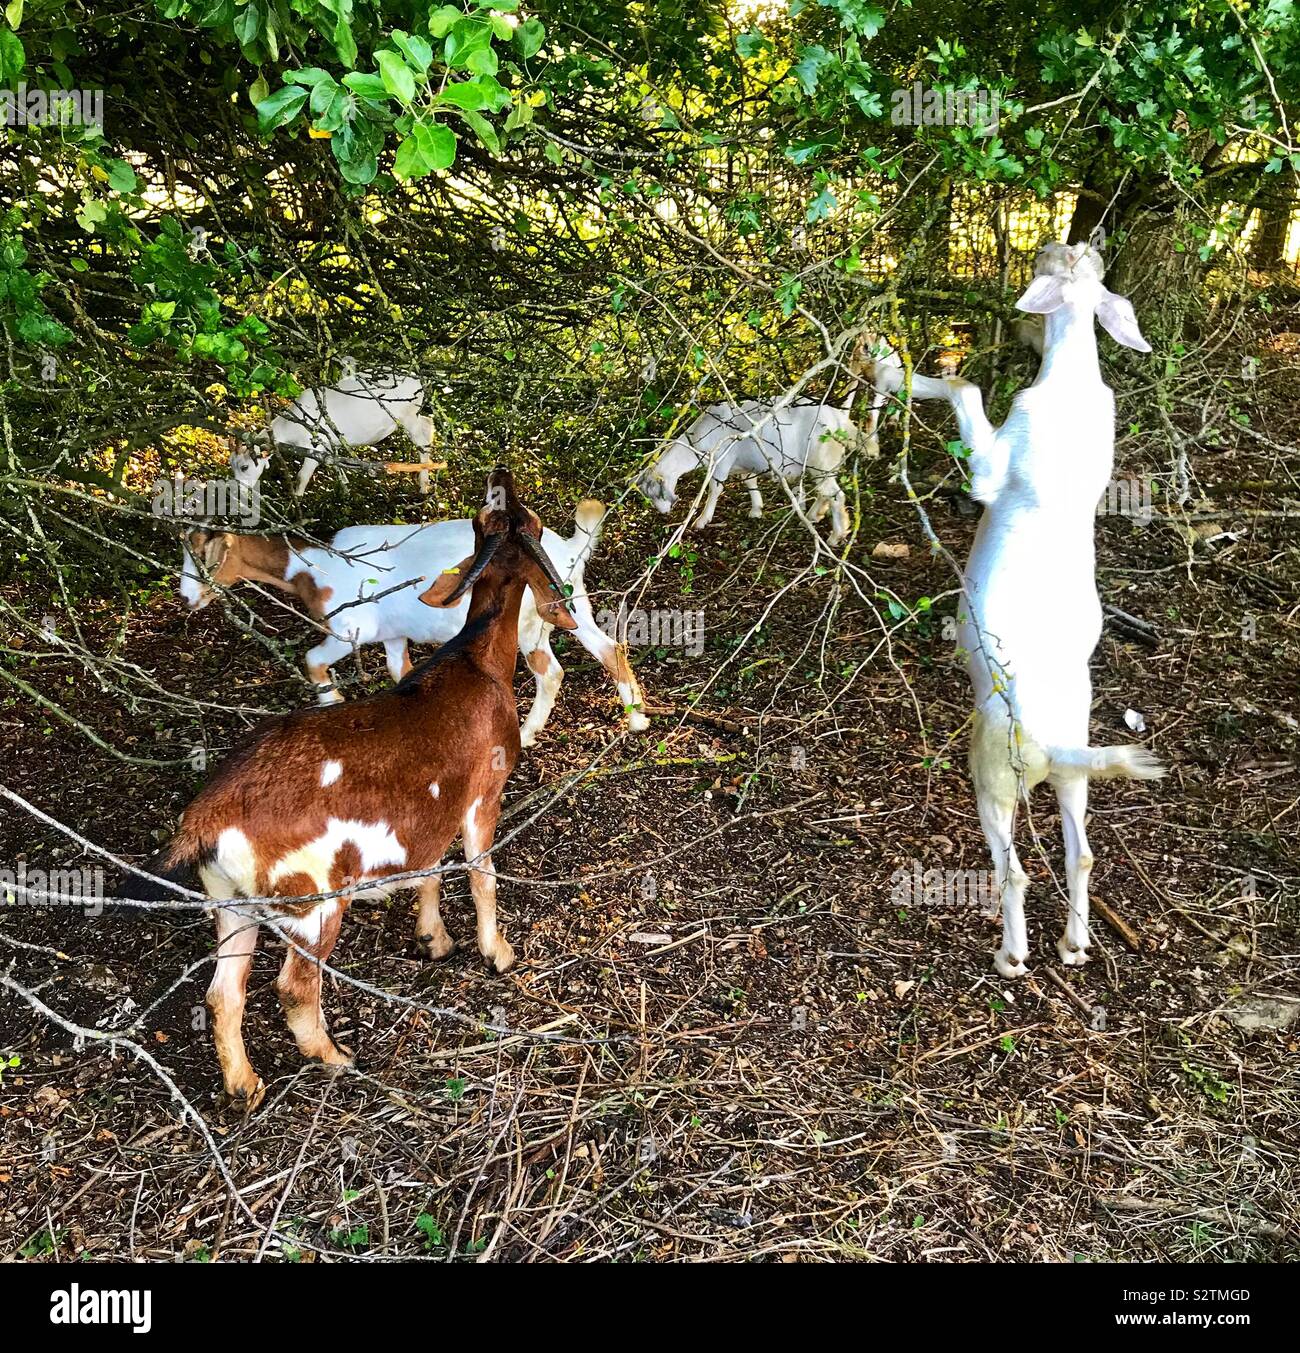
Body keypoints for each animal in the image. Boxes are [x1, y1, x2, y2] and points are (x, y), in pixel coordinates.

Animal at [146, 469, 575, 1105]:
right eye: (533, 523)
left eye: (488, 519)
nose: (503, 477)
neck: (475, 659)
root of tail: (207, 820)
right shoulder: (482, 794)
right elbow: (481, 874)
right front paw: (497, 953)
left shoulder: (427, 815)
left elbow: (428, 867)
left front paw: (432, 940)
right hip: (312, 902)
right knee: (294, 987)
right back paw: (334, 1057)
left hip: (229, 900)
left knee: (223, 990)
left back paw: (245, 1084)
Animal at [179, 500, 648, 746]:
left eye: (205, 560)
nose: (186, 598)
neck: (312, 568)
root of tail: (570, 547)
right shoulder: (393, 634)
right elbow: (398, 671)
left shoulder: (348, 631)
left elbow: (312, 659)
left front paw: (330, 703)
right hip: (570, 605)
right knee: (606, 649)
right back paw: (634, 720)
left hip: (531, 621)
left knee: (550, 671)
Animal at [230, 370, 437, 497]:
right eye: (231, 465)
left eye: (245, 467)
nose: (236, 491)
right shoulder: (329, 445)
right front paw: (345, 488)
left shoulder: (314, 446)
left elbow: (302, 477)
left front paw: (296, 501)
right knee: (428, 423)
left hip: (408, 415)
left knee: (422, 441)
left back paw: (423, 486)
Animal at [637, 398, 854, 544]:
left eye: (654, 492)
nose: (663, 512)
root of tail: (840, 419)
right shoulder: (746, 464)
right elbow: (750, 482)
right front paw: (756, 509)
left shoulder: (721, 462)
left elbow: (715, 490)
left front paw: (702, 520)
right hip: (824, 466)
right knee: (824, 493)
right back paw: (812, 516)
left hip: (822, 460)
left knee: (836, 495)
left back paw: (836, 536)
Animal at [904, 242, 1165, 977]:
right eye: (1087, 258)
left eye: (1062, 260)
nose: (1054, 240)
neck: (1072, 375)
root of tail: (1048, 740)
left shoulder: (992, 466)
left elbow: (966, 392)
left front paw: (899, 369)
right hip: (1077, 770)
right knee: (1083, 853)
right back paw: (1074, 946)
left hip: (992, 777)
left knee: (1014, 869)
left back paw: (1012, 955)